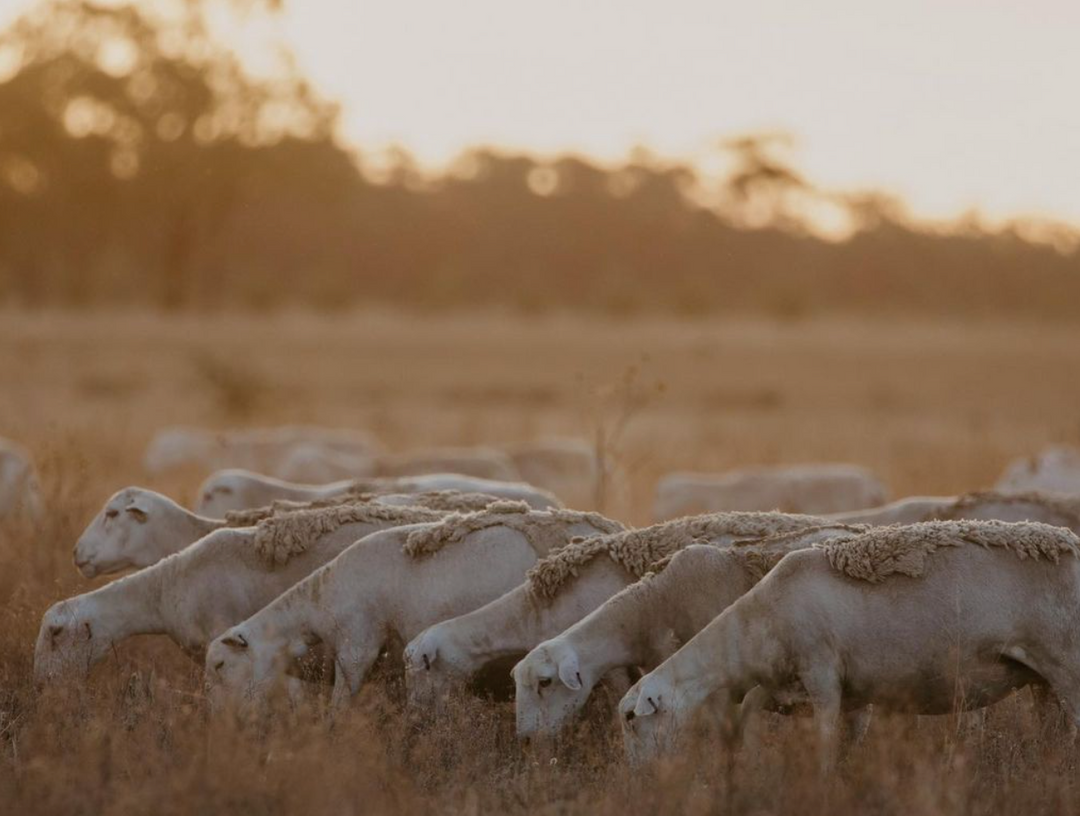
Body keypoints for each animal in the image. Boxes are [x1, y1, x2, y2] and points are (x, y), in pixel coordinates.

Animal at [204, 505, 624, 714]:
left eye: (220, 665)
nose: (216, 721)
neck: (317, 603)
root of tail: (611, 531)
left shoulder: (357, 641)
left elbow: (342, 697)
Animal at [619, 520, 1080, 769]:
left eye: (630, 720)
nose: (637, 780)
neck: (758, 624)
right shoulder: (791, 684)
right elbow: (754, 712)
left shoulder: (822, 675)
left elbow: (824, 741)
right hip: (1041, 676)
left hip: (1066, 661)